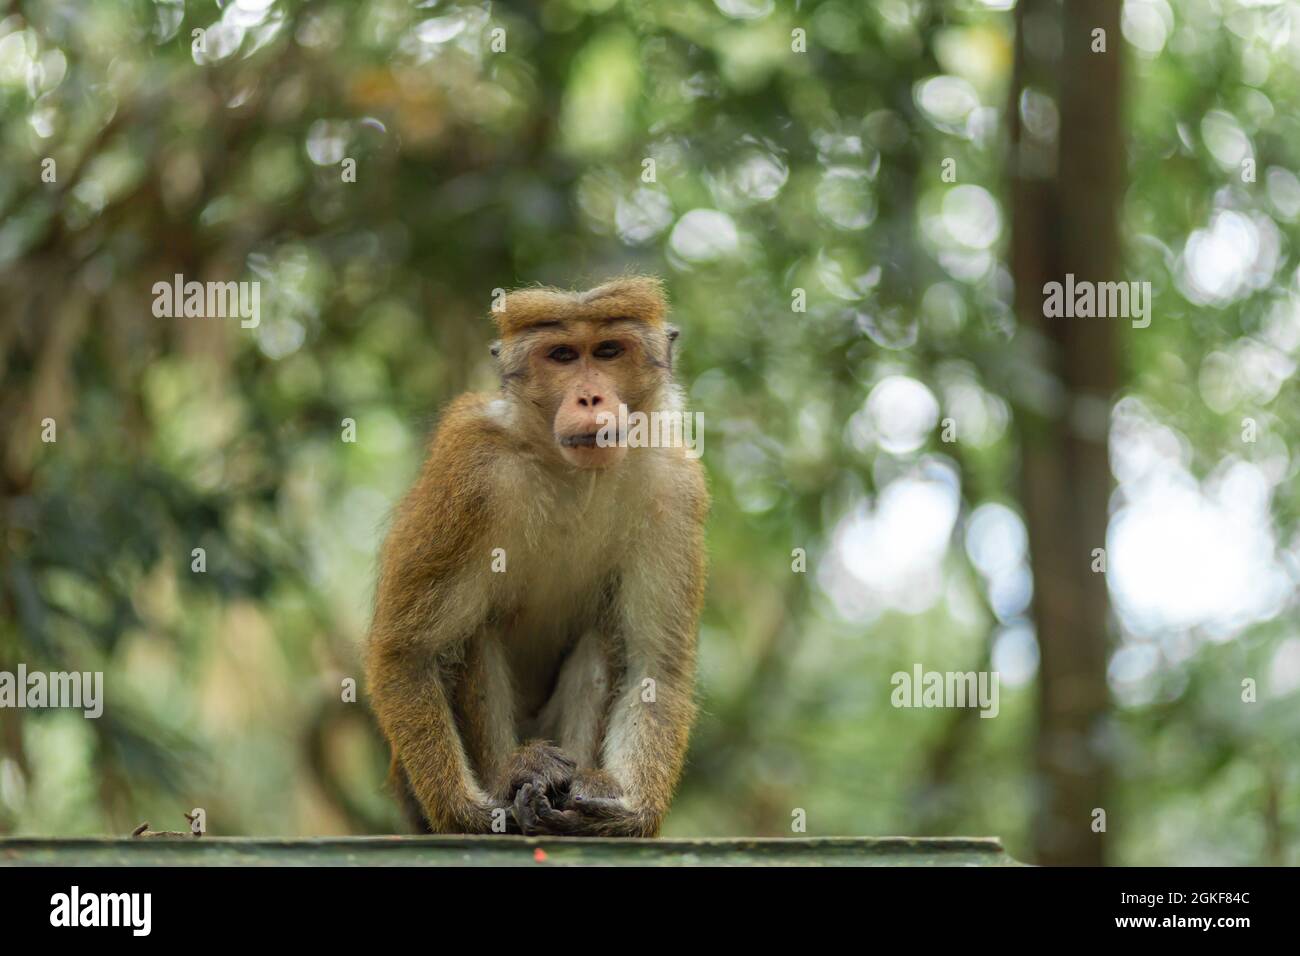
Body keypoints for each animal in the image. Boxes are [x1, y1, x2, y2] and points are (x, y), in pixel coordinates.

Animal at [364, 276, 708, 837]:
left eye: (608, 351)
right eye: (562, 355)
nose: (590, 395)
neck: (570, 473)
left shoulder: (674, 487)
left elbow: (655, 663)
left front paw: (627, 813)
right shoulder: (470, 467)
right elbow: (408, 651)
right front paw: (469, 811)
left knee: (600, 640)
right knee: (474, 634)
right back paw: (516, 779)